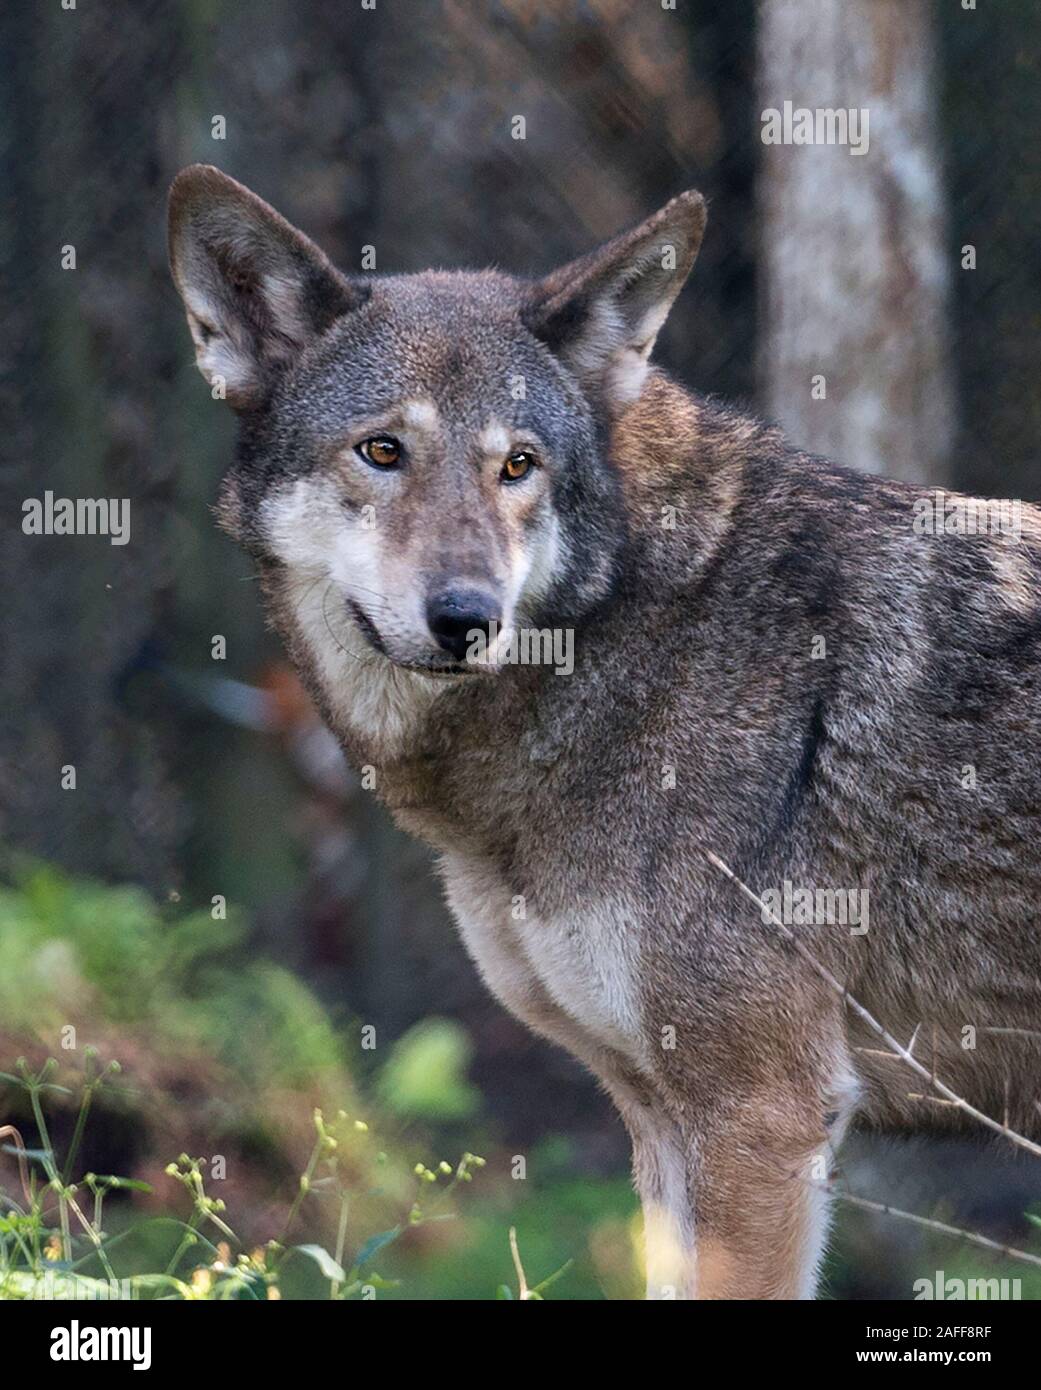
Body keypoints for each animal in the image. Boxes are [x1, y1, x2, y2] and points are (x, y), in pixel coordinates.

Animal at [169, 165, 1041, 1299]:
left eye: (518, 465)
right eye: (382, 451)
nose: (466, 616)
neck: (632, 629)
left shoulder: (759, 1113)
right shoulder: (658, 1115)